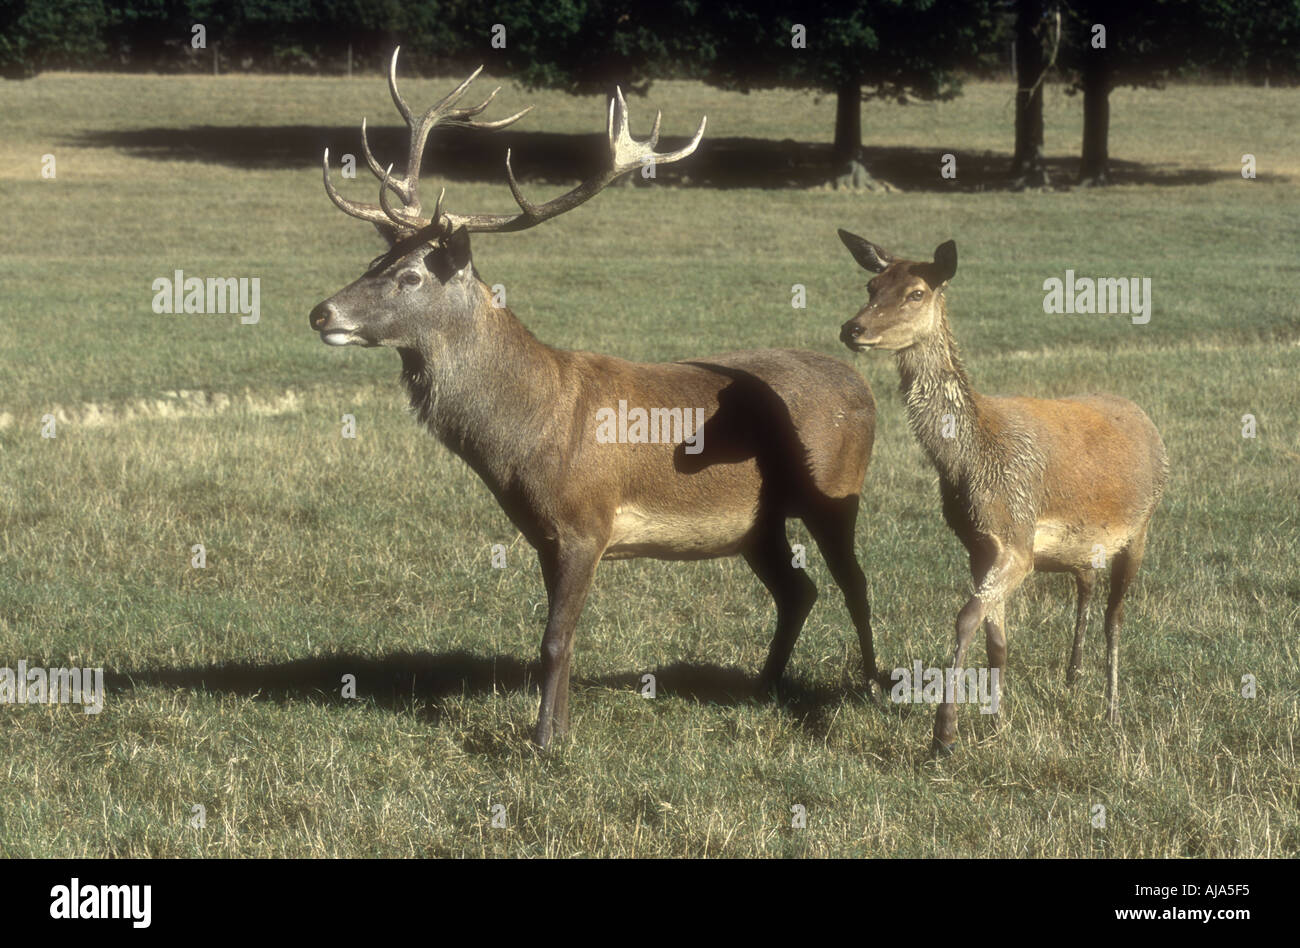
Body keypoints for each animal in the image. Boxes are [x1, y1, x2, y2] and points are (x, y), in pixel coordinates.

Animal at [307, 48, 885, 749]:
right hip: (758, 521)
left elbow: (554, 641)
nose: (321, 312)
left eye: (411, 276)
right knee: (798, 590)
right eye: (373, 260)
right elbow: (565, 638)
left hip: (835, 491)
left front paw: (542, 744)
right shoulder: (545, 533)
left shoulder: (587, 520)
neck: (527, 432)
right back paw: (763, 685)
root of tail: (861, 385)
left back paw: (872, 684)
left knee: (854, 582)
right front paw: (557, 730)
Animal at [836, 230, 1168, 754]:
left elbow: (965, 617)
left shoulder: (1016, 536)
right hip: (1085, 545)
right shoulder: (980, 545)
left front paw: (945, 734)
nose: (853, 328)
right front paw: (997, 722)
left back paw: (1112, 712)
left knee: (1116, 616)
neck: (973, 462)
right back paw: (1072, 678)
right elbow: (998, 641)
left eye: (916, 293)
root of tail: (1147, 421)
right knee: (1086, 586)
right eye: (872, 285)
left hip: (1142, 525)